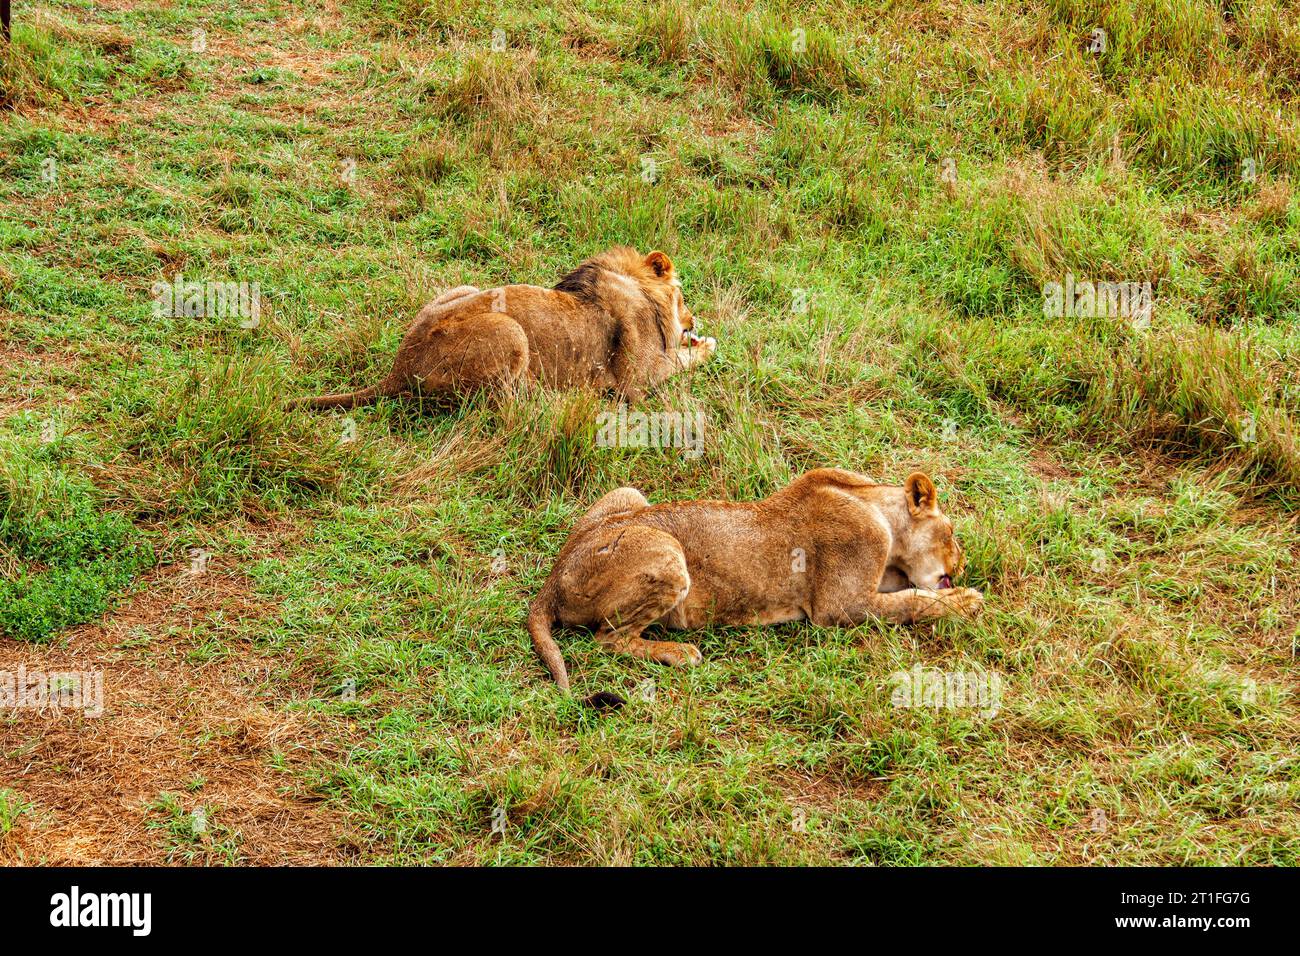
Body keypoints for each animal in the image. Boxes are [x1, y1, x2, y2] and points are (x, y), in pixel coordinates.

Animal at [293, 247, 716, 410]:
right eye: (683, 297)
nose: (693, 319)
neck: (637, 286)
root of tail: (400, 368)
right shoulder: (636, 380)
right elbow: (683, 361)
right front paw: (709, 343)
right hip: (511, 331)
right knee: (500, 406)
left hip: (463, 287)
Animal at [527, 468, 984, 705]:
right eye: (953, 533)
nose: (961, 566)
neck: (872, 502)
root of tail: (552, 580)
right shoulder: (839, 604)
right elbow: (913, 600)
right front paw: (966, 600)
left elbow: (909, 593)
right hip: (668, 551)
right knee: (608, 639)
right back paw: (680, 652)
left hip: (628, 495)